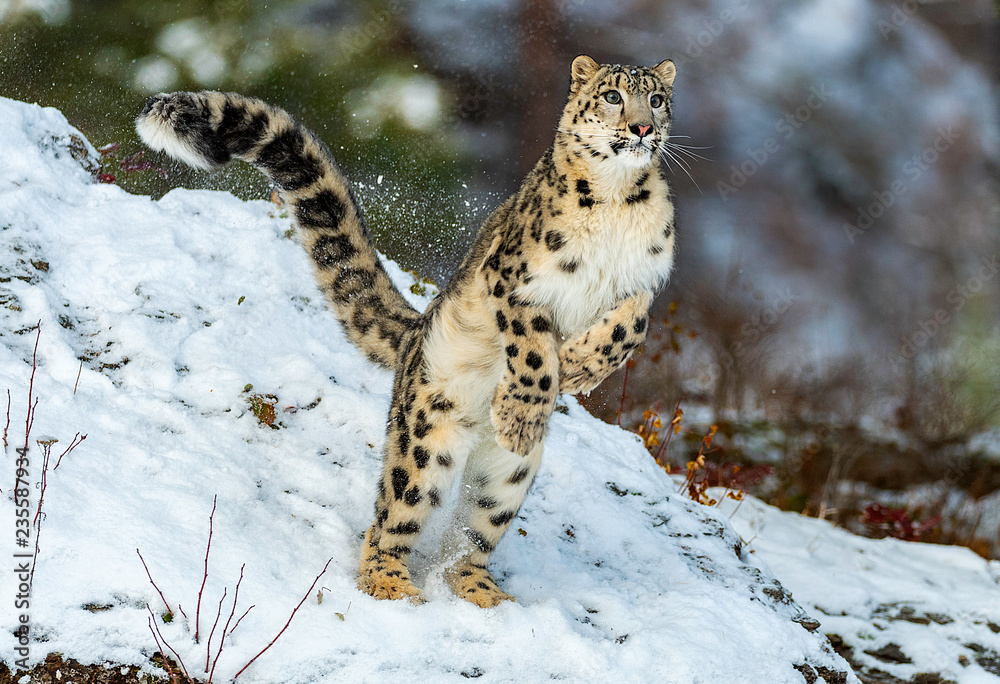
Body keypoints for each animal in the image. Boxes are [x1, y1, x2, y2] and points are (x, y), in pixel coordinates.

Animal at [136, 54, 678, 608]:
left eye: (656, 99)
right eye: (613, 96)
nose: (643, 127)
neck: (615, 202)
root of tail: (415, 333)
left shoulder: (643, 282)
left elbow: (631, 326)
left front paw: (578, 367)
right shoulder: (513, 280)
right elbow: (531, 353)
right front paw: (522, 414)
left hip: (508, 478)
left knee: (472, 539)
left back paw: (485, 593)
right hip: (422, 441)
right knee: (390, 521)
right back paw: (391, 583)